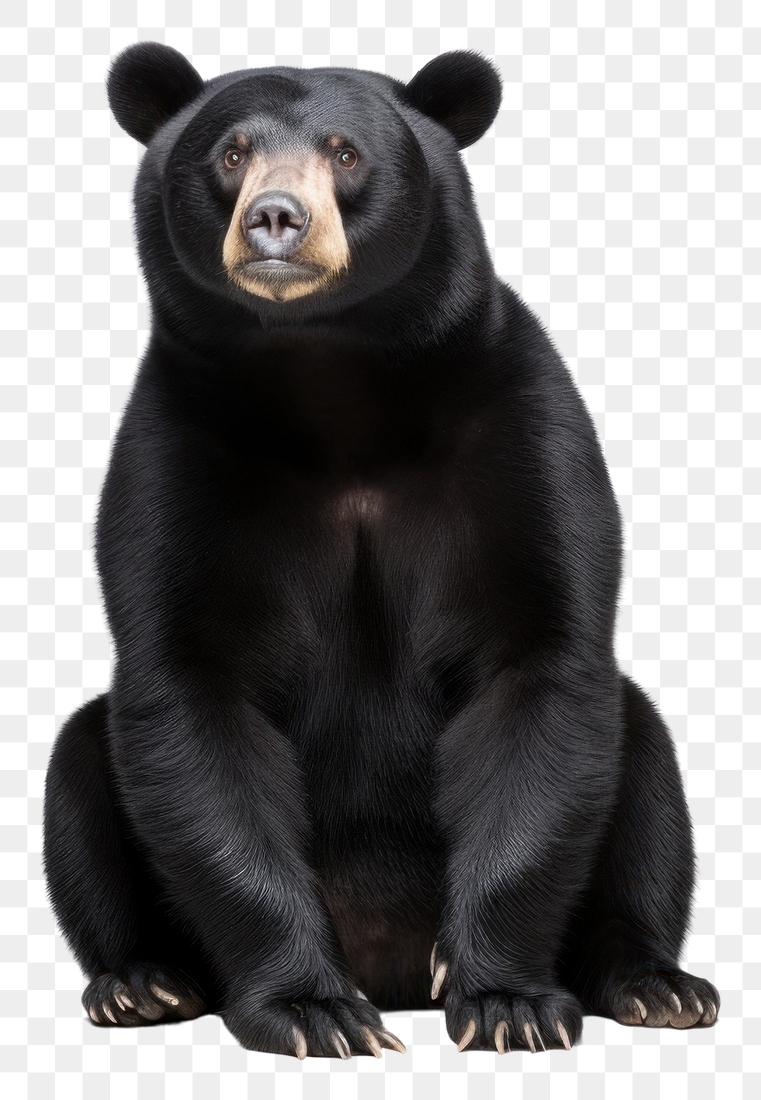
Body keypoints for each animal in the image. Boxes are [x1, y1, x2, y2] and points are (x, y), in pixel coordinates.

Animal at [42, 41, 720, 1058]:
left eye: (345, 153)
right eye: (231, 154)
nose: (277, 219)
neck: (333, 383)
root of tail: (389, 965)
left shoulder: (523, 430)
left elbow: (540, 669)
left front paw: (507, 1002)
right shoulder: (176, 450)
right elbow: (188, 697)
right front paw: (310, 1009)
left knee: (644, 763)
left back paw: (653, 984)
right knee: (80, 764)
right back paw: (142, 983)